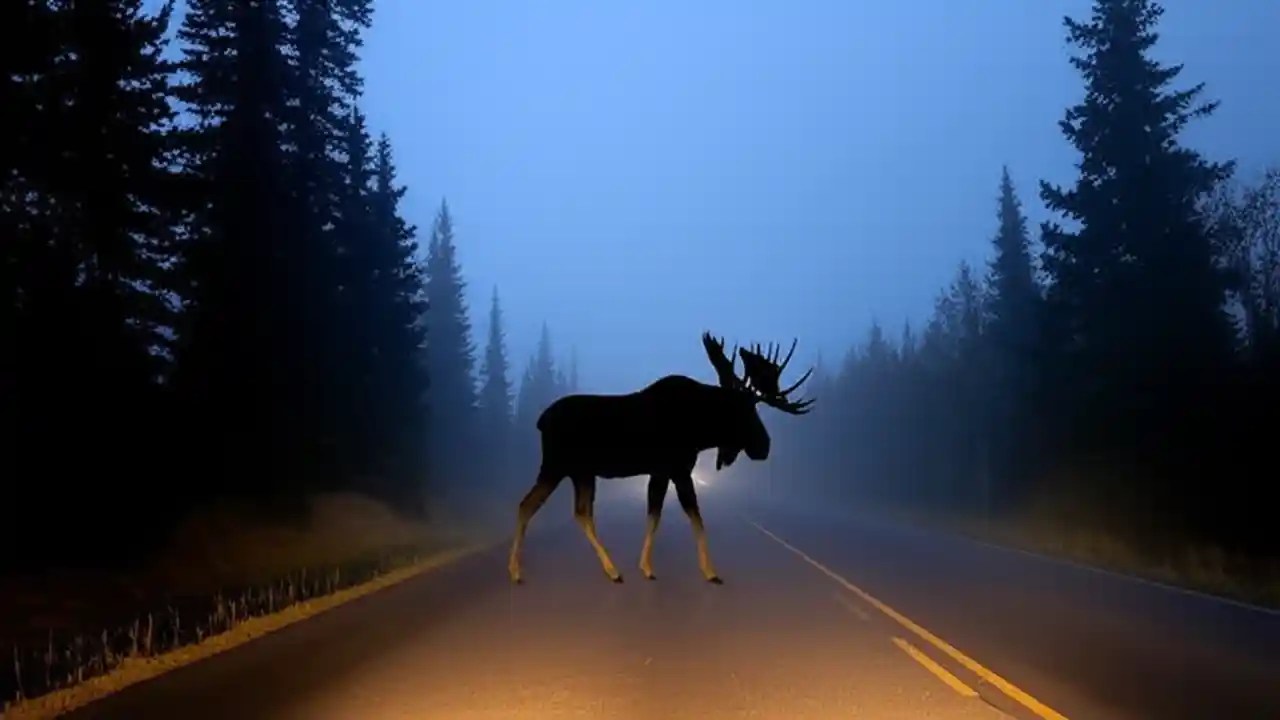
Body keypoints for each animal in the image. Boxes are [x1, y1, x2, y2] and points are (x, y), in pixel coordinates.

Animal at [507, 331, 814, 585]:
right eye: (746, 411)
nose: (765, 446)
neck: (703, 430)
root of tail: (540, 421)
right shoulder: (677, 469)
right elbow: (694, 516)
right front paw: (710, 571)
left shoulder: (662, 471)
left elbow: (655, 514)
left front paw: (646, 566)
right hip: (556, 466)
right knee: (527, 505)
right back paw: (516, 571)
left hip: (581, 473)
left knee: (580, 513)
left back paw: (612, 570)